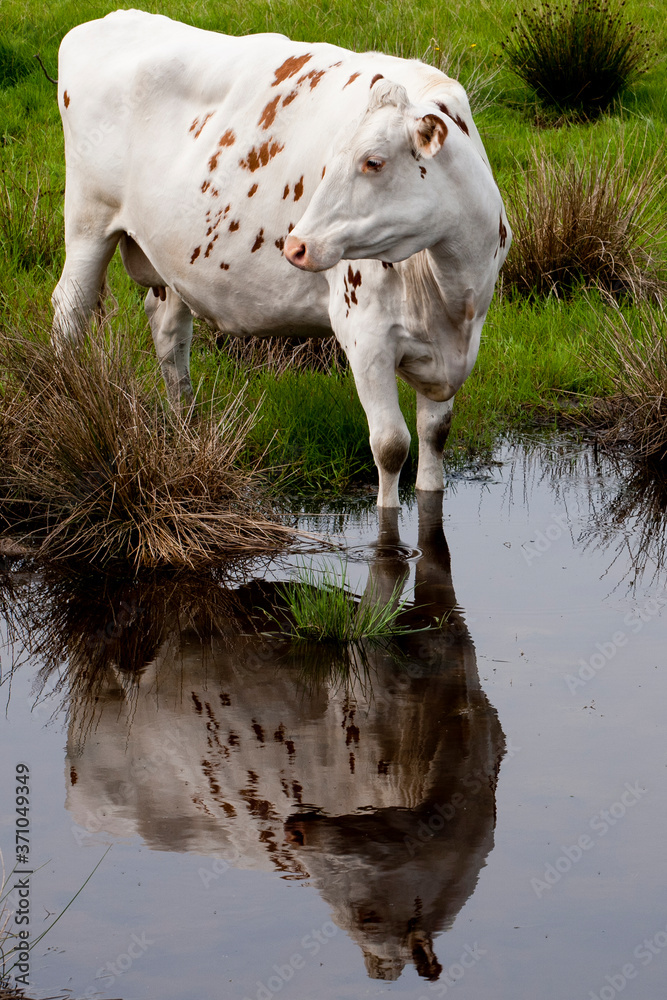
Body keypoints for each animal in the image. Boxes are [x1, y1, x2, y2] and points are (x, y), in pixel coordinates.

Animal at [52, 10, 511, 507]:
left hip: (172, 259)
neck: (451, 289)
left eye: (374, 161)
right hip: (88, 221)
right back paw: (66, 400)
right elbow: (391, 446)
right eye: (329, 160)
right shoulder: (365, 333)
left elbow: (435, 435)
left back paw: (185, 425)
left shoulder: (455, 344)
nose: (296, 246)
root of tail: (113, 18)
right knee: (70, 310)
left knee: (169, 328)